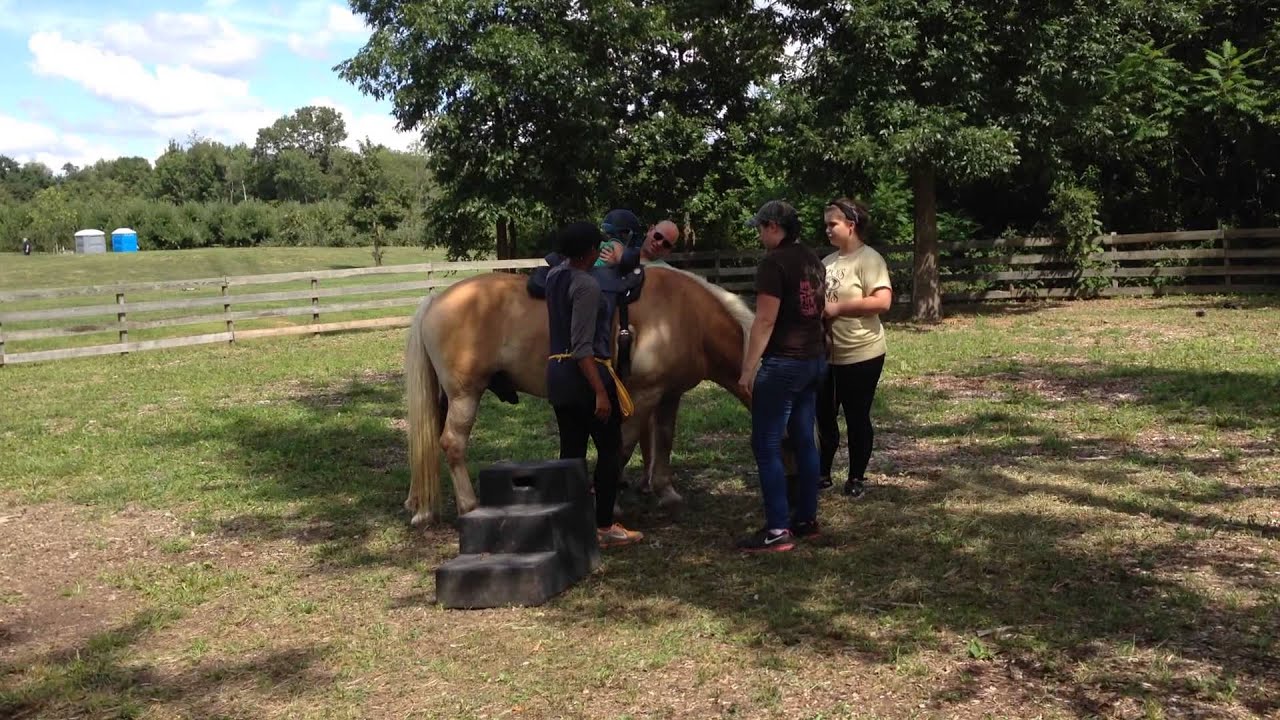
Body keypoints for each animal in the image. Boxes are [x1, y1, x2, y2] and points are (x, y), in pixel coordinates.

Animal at [402, 265, 758, 526]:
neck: (687, 315)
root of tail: (436, 300)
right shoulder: (644, 396)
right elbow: (622, 448)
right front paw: (612, 504)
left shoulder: (670, 395)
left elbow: (665, 441)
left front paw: (666, 493)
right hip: (465, 395)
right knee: (452, 443)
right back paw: (469, 505)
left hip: (445, 398)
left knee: (430, 439)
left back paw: (420, 504)